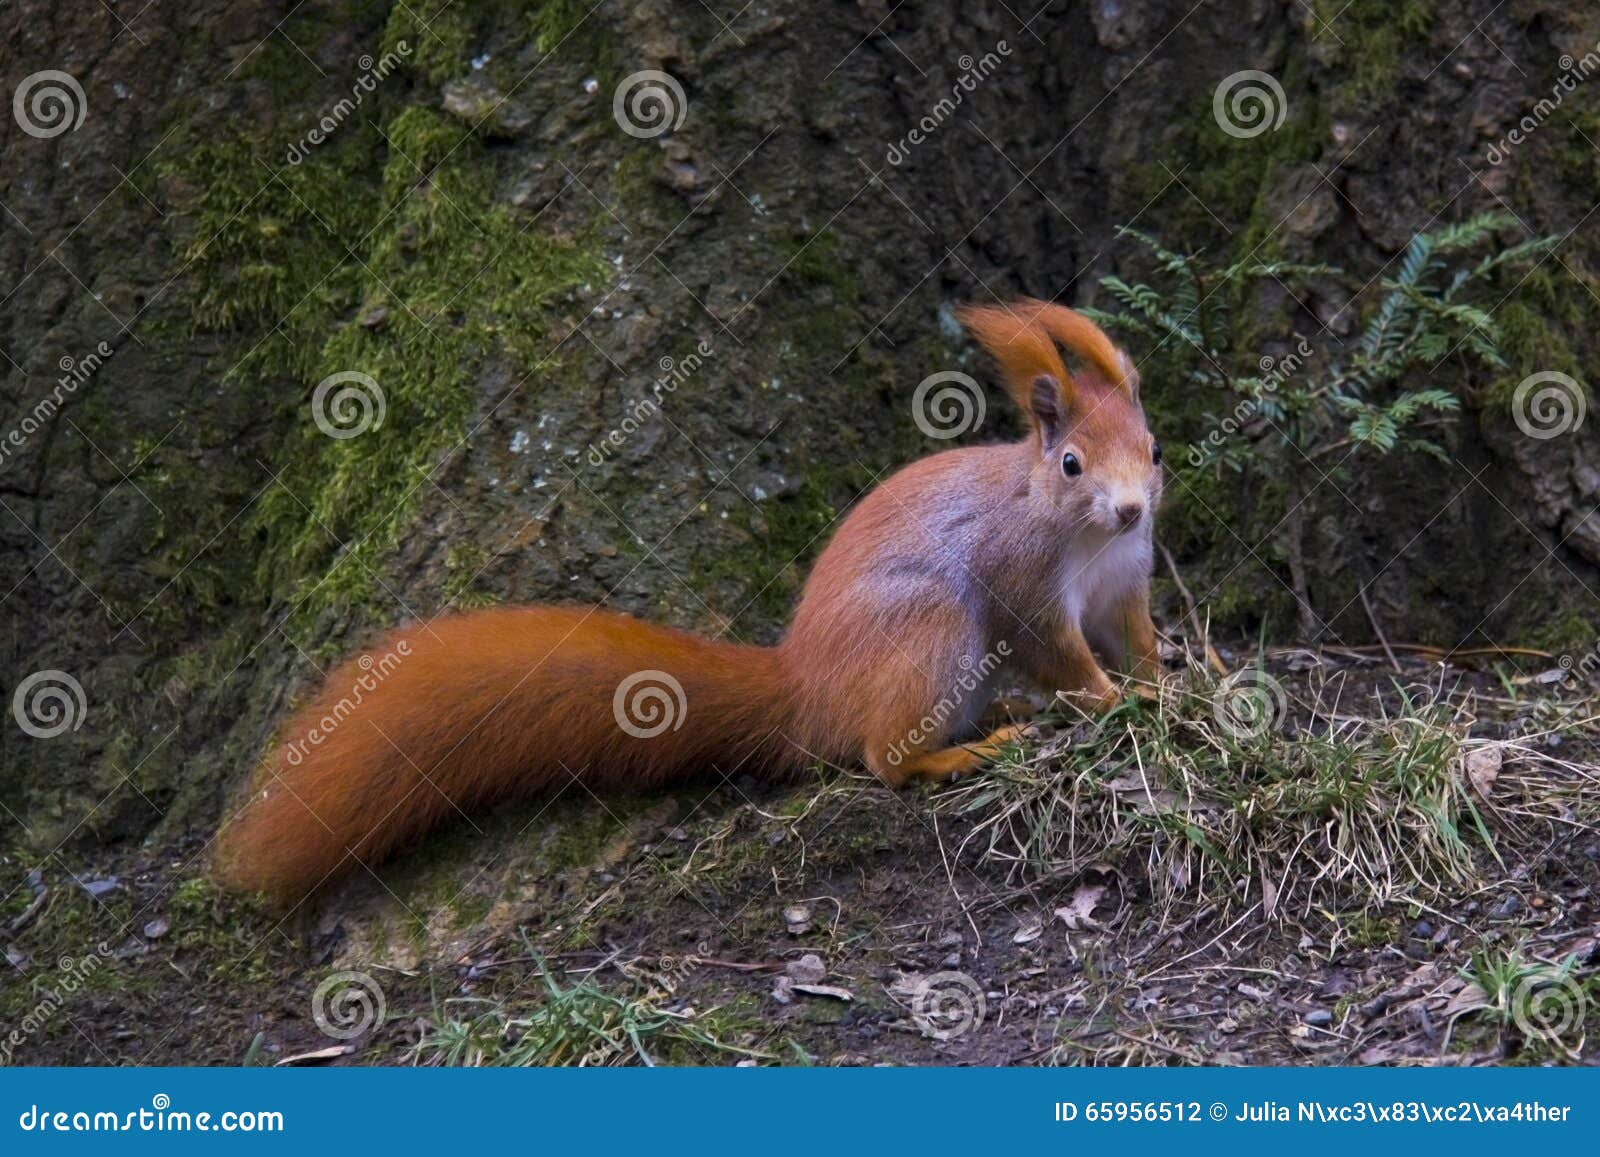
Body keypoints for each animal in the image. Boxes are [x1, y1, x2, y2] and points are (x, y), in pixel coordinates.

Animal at [215, 299, 1162, 902]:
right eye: (1071, 462)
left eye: (1152, 446)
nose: (1131, 508)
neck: (1081, 533)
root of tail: (803, 688)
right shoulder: (1021, 580)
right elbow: (1056, 650)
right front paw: (1108, 700)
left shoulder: (1124, 582)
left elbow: (1135, 633)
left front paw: (1166, 679)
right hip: (925, 633)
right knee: (882, 758)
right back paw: (963, 751)